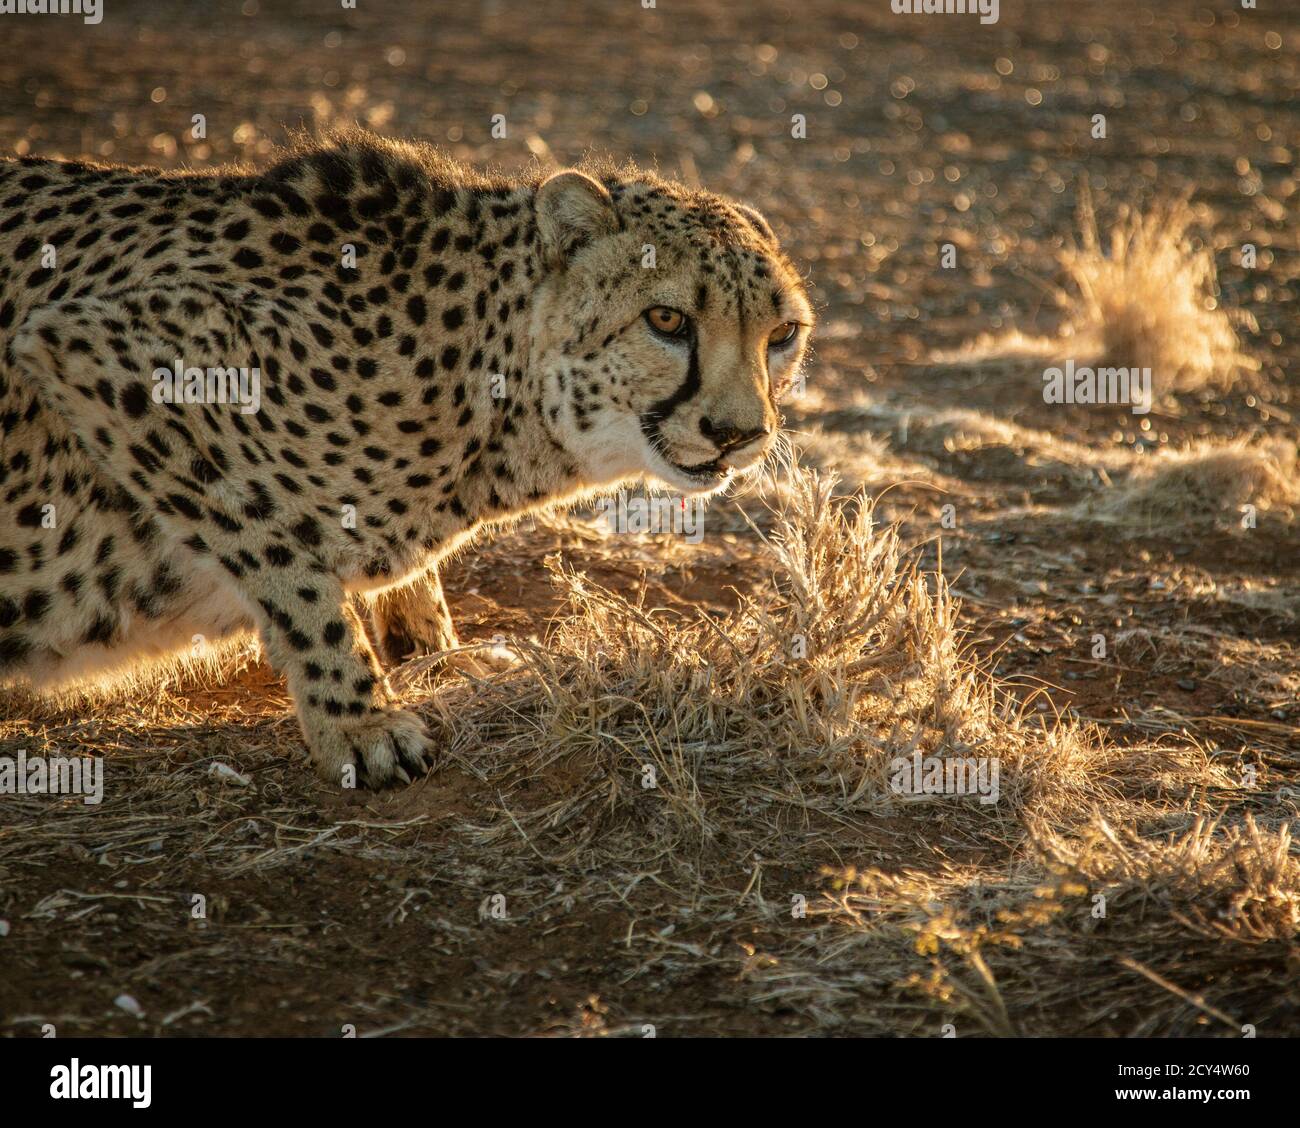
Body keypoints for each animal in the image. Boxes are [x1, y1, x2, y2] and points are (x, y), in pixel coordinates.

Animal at [0, 130, 814, 786]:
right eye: (667, 319)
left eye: (782, 336)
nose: (740, 432)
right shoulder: (98, 349)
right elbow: (285, 556)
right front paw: (357, 720)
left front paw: (434, 651)